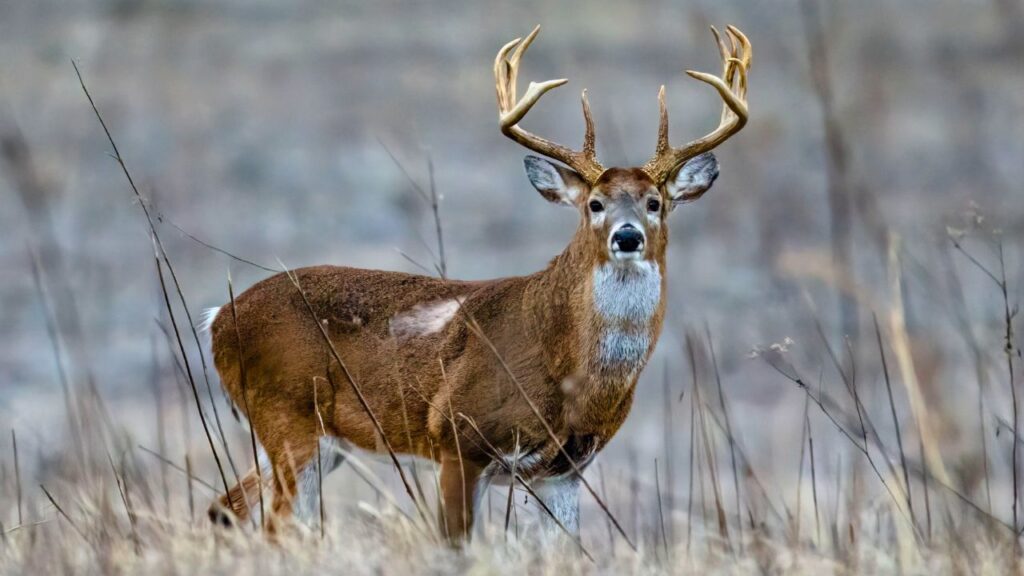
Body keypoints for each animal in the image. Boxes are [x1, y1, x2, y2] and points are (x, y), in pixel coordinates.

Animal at [202, 24, 751, 543]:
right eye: (595, 204)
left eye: (655, 202)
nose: (628, 235)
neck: (568, 368)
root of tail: (217, 319)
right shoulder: (457, 437)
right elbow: (455, 544)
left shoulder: (564, 472)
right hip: (289, 418)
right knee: (276, 528)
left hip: (316, 438)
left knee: (224, 508)